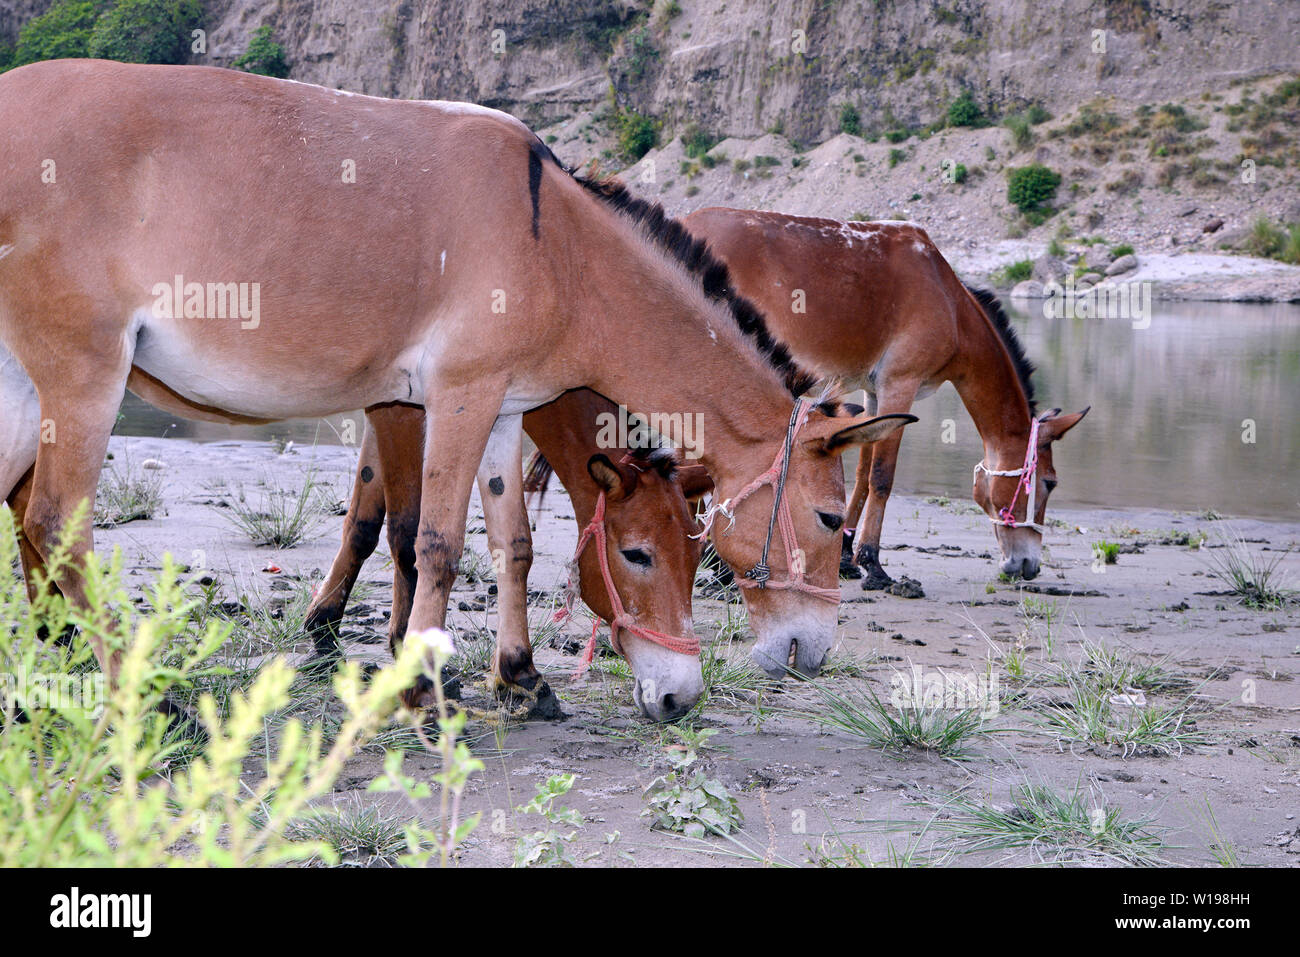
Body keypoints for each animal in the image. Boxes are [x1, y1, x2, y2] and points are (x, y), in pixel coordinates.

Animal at [0, 60, 912, 716]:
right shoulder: (457, 398)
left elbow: (514, 543)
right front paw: (421, 687)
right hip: (85, 375)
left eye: (696, 553)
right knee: (54, 523)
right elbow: (435, 540)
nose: (682, 698)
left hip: (23, 384)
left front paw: (521, 677)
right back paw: (143, 698)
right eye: (827, 519)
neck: (560, 249)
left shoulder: (505, 409)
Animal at [681, 208, 1089, 586]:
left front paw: (846, 557)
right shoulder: (899, 385)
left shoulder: (873, 392)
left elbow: (862, 474)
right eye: (1049, 483)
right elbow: (882, 476)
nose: (1029, 566)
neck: (948, 299)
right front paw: (872, 563)